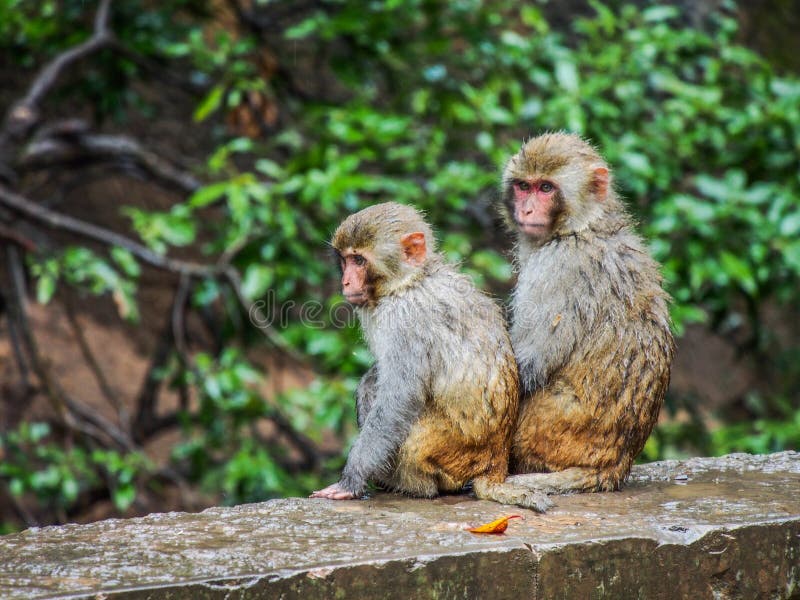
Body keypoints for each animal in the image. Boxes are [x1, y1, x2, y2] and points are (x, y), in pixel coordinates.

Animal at [310, 202, 550, 511]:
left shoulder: (403, 319)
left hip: (453, 452)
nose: (346, 281)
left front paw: (351, 480)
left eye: (360, 260)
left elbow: (399, 398)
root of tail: (496, 461)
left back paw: (412, 485)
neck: (409, 281)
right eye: (345, 260)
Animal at [496, 132, 675, 495]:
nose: (527, 209)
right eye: (523, 186)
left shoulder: (555, 268)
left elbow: (524, 367)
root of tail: (613, 467)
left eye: (546, 188)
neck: (582, 227)